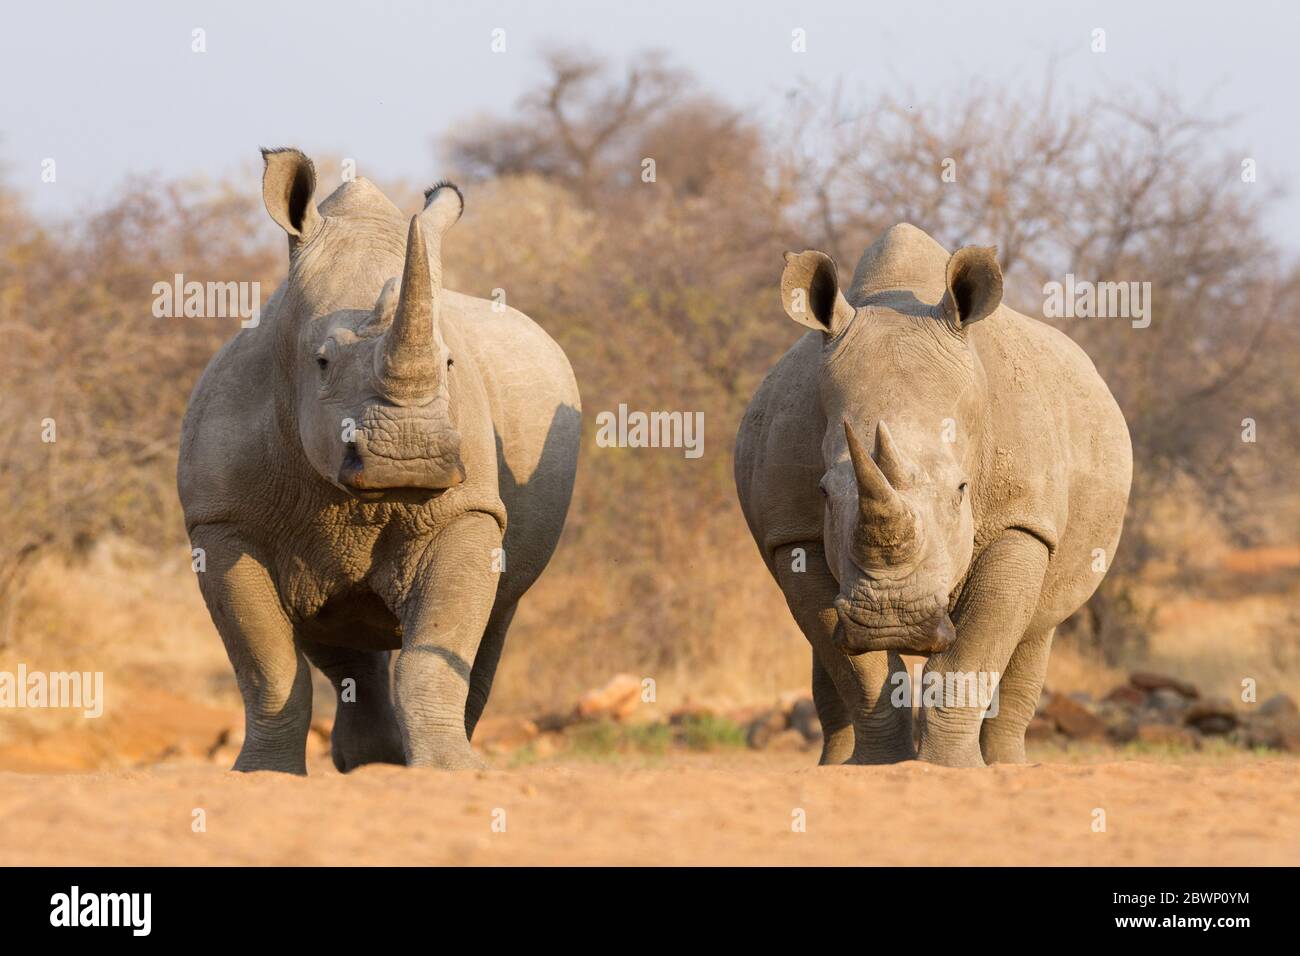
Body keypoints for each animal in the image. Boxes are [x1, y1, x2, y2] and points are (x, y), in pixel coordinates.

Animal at [178, 149, 581, 773]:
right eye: (321, 362)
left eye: (448, 363)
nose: (409, 457)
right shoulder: (222, 522)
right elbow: (269, 667)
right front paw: (264, 775)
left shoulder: (468, 509)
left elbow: (437, 652)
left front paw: (450, 772)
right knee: (337, 641)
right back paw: (371, 765)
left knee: (494, 620)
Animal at [735, 223, 1132, 767]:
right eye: (825, 493)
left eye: (961, 491)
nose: (892, 618)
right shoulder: (793, 533)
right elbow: (862, 672)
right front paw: (878, 767)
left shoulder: (1021, 521)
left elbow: (973, 654)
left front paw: (953, 769)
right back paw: (832, 766)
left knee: (1036, 630)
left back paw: (1008, 766)